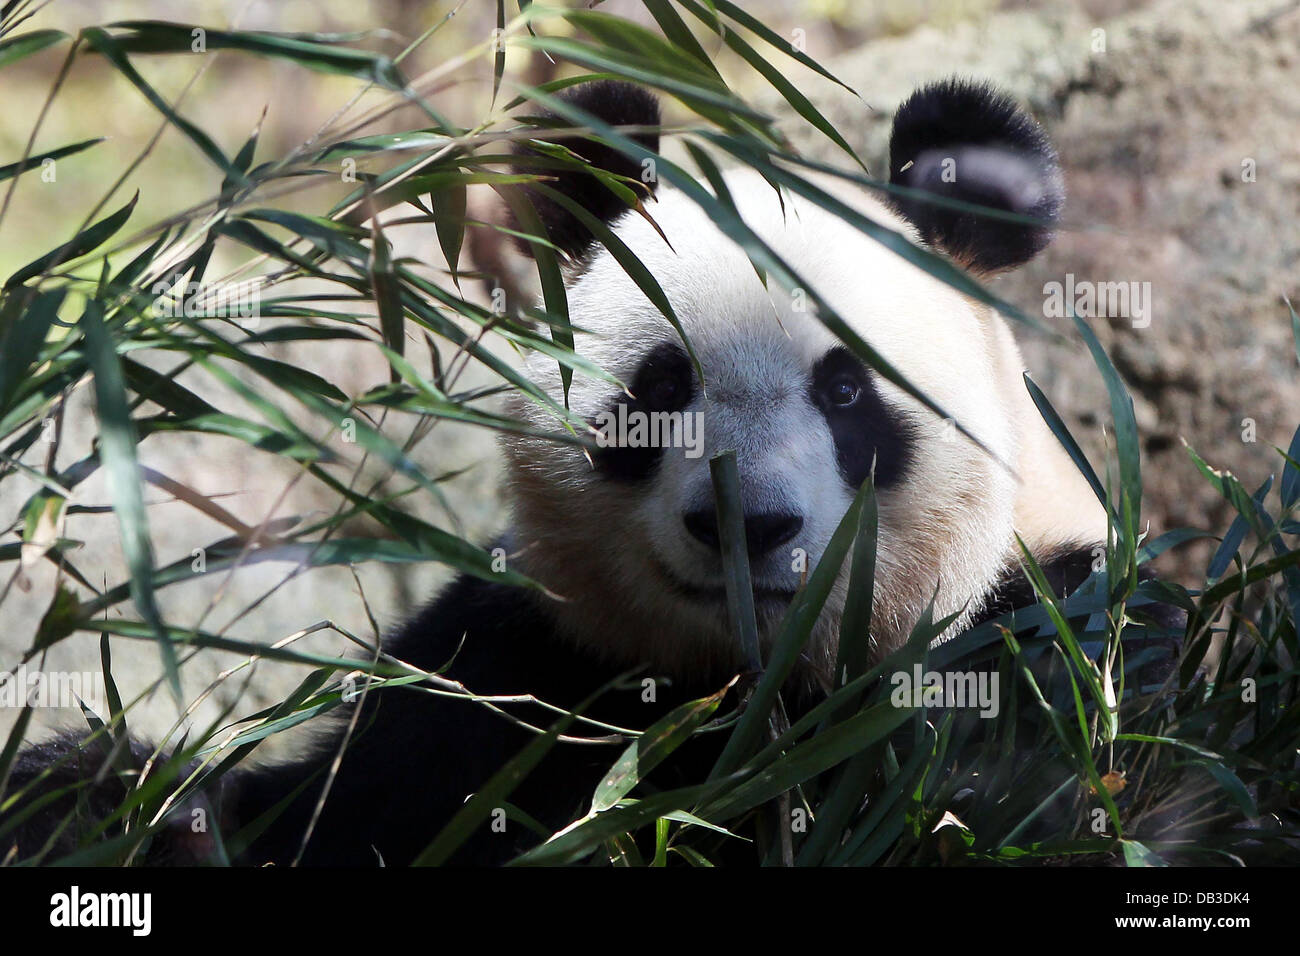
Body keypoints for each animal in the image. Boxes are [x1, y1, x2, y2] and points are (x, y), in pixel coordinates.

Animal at [6, 78, 1144, 866]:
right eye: (664, 381)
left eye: (846, 391)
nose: (749, 524)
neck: (744, 680)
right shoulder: (523, 662)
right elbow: (325, 809)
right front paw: (106, 804)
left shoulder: (1037, 648)